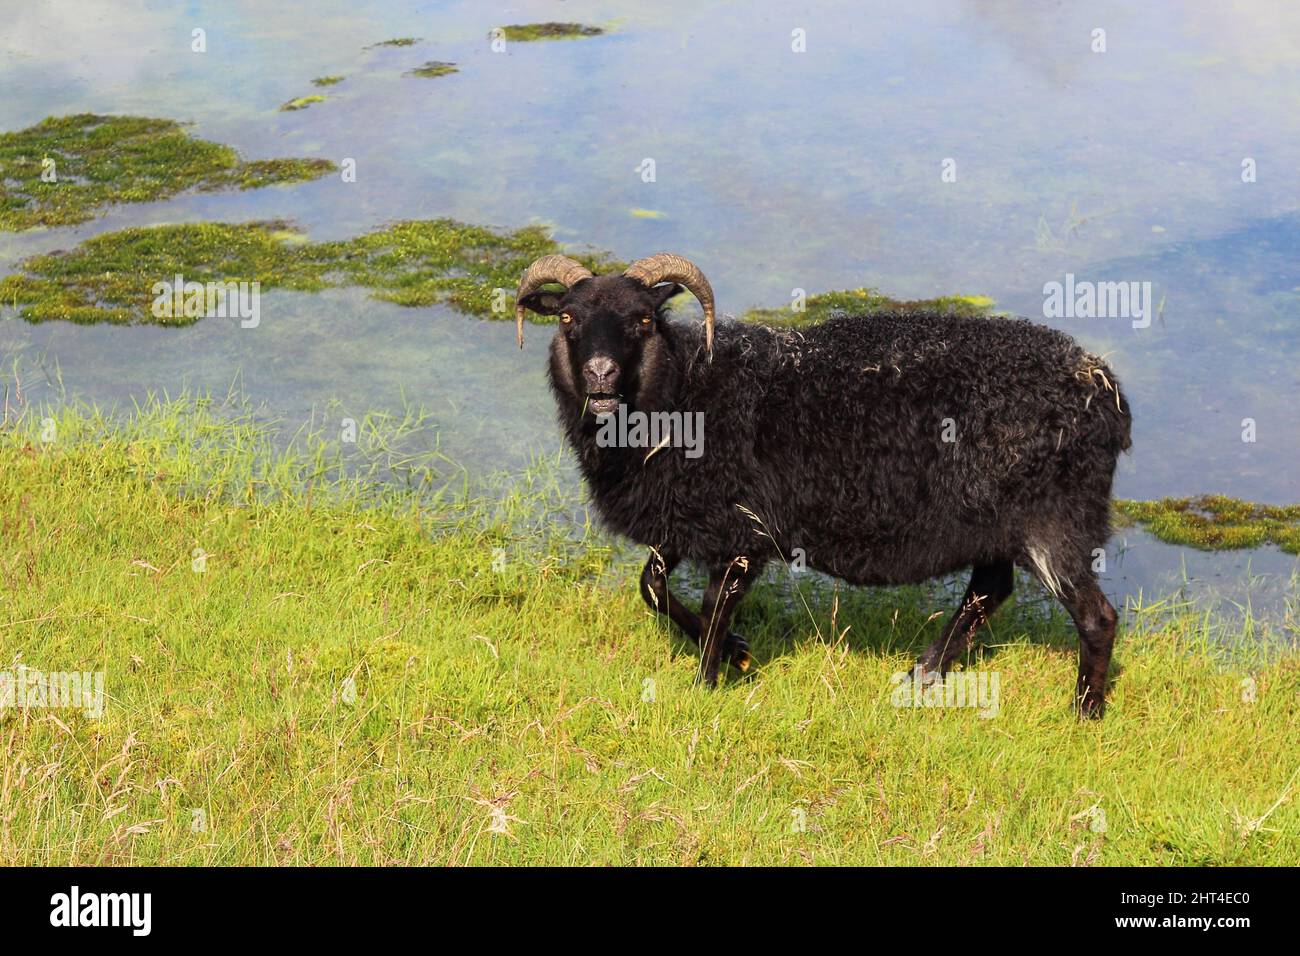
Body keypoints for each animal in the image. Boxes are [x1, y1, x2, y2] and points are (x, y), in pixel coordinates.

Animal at [515, 253, 1133, 717]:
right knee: (989, 589)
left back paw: (1084, 711)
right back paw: (925, 674)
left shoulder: (744, 529)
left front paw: (706, 683)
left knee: (1096, 617)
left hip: (1053, 520)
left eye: (643, 319)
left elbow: (715, 606)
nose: (599, 375)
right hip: (997, 524)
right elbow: (652, 587)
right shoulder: (685, 515)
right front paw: (738, 654)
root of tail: (1107, 392)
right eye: (566, 319)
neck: (686, 393)